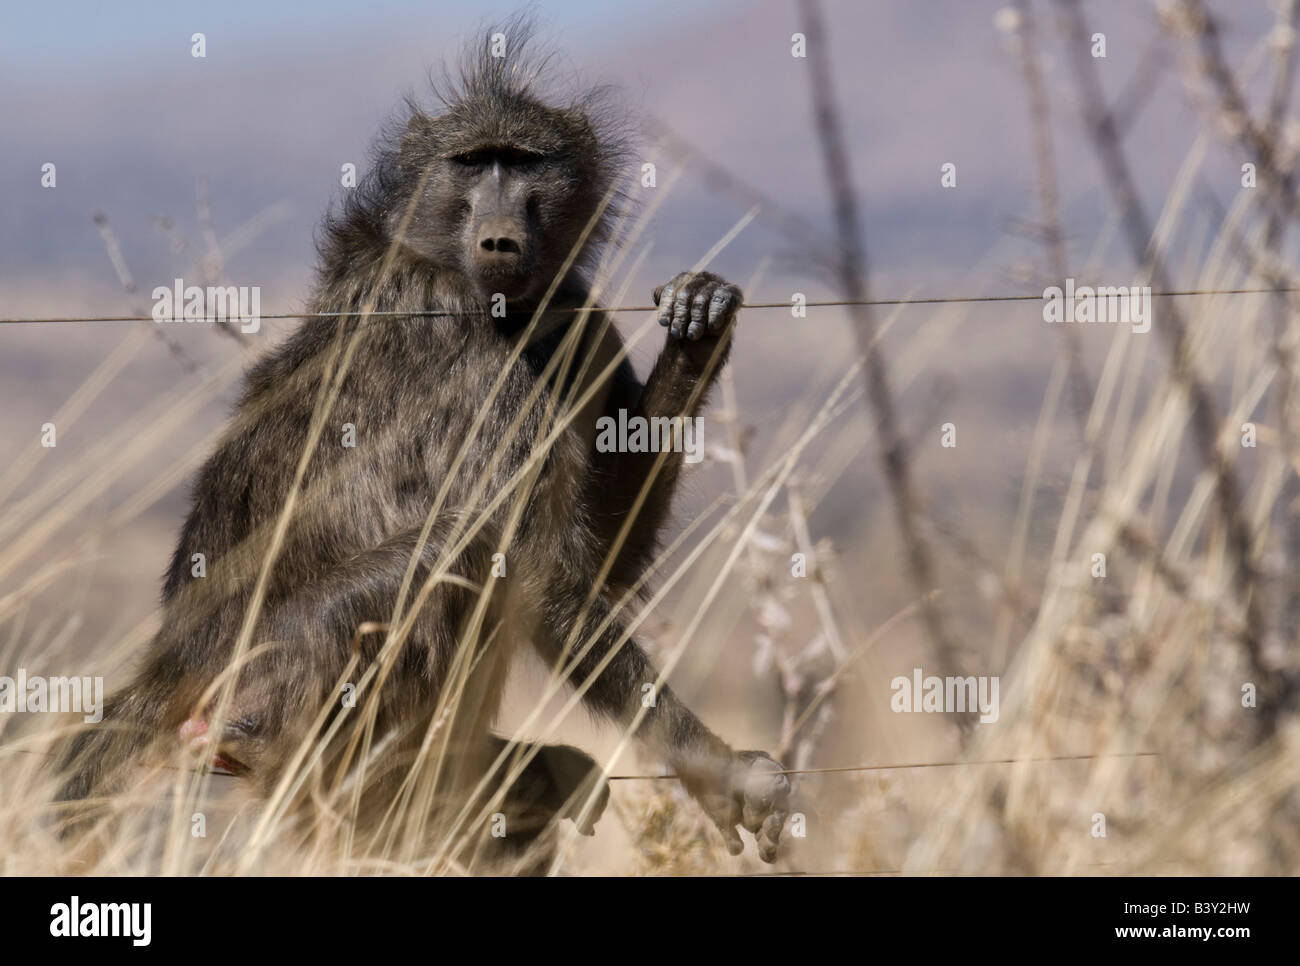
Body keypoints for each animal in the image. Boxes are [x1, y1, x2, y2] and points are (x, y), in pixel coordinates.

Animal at [55, 19, 790, 871]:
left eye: (525, 162)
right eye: (472, 163)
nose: (501, 239)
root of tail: (173, 663)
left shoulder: (580, 316)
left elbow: (604, 558)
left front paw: (699, 328)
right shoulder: (454, 327)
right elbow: (540, 565)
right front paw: (720, 767)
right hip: (268, 677)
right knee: (455, 549)